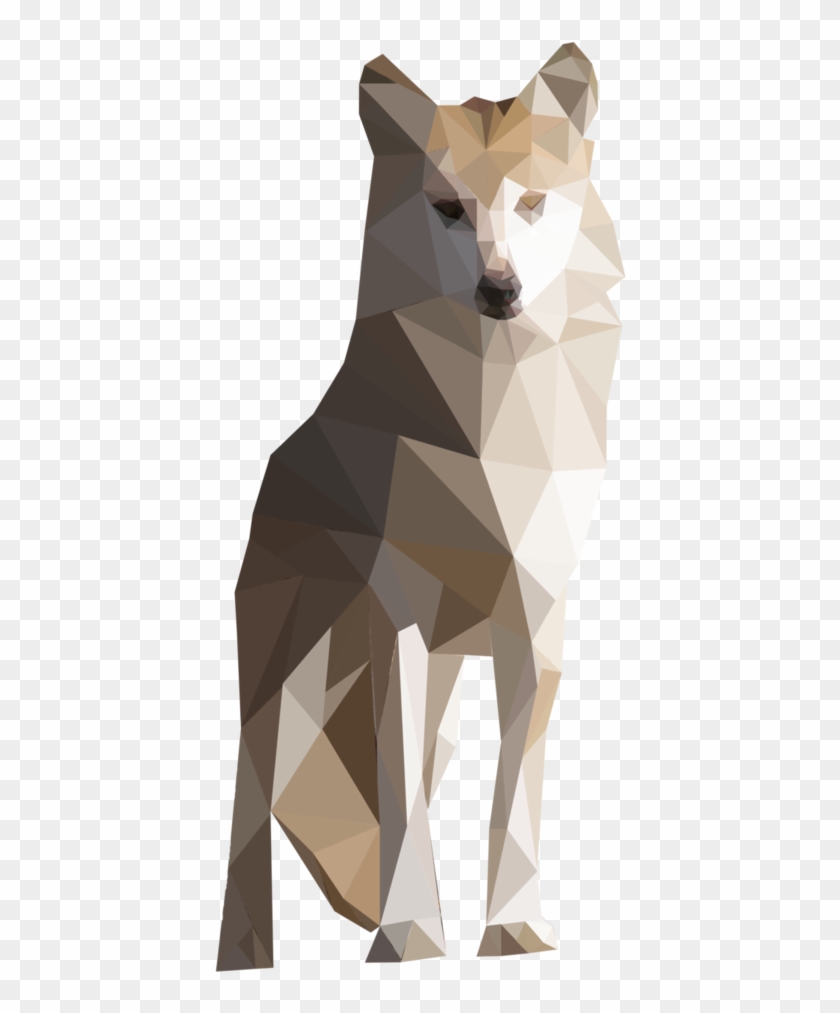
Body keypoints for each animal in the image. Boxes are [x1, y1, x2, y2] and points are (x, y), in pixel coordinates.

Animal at [217, 43, 623, 968]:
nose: (500, 289)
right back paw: (243, 957)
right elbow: (399, 799)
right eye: (447, 209)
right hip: (281, 691)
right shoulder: (394, 626)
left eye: (533, 203)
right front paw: (407, 938)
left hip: (432, 696)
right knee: (249, 811)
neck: (488, 435)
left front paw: (513, 932)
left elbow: (511, 802)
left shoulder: (534, 628)